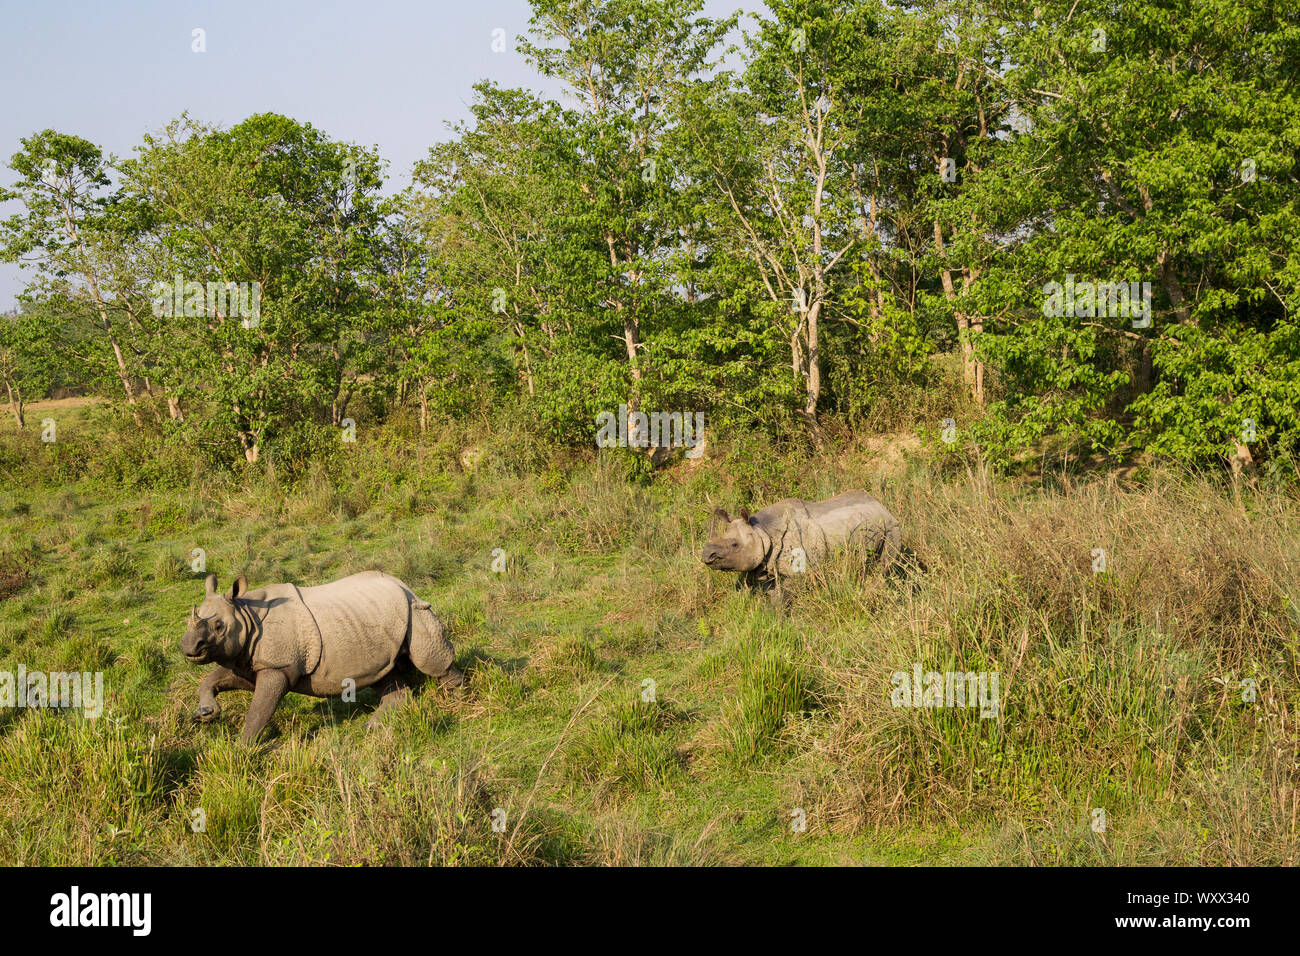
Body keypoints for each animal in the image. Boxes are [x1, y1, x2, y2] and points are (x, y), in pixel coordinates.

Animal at [181, 571, 463, 742]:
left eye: (219, 627)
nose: (188, 647)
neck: (245, 613)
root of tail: (403, 584)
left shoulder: (278, 666)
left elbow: (259, 710)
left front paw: (242, 749)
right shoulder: (249, 662)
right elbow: (213, 679)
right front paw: (206, 713)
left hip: (412, 608)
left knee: (427, 660)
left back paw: (456, 696)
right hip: (376, 621)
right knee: (383, 672)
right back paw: (372, 727)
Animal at [701, 491, 901, 591]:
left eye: (734, 545)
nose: (706, 556)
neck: (762, 530)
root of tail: (881, 505)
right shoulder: (768, 564)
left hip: (891, 526)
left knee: (886, 563)